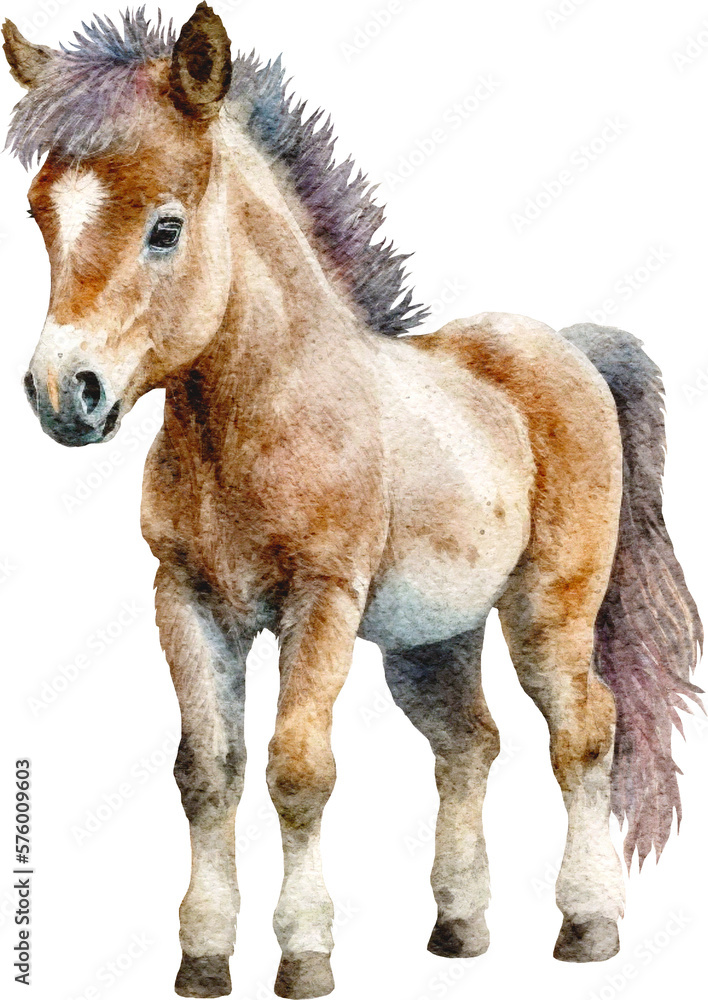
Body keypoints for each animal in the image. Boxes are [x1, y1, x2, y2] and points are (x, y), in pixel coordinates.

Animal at [3, 6, 702, 998]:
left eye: (165, 229)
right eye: (39, 215)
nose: (66, 394)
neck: (254, 418)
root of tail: (570, 348)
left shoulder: (321, 601)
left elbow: (298, 771)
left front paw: (304, 954)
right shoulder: (186, 601)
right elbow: (205, 773)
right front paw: (204, 957)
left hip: (548, 611)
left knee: (582, 730)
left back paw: (588, 924)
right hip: (430, 636)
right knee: (469, 742)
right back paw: (459, 928)